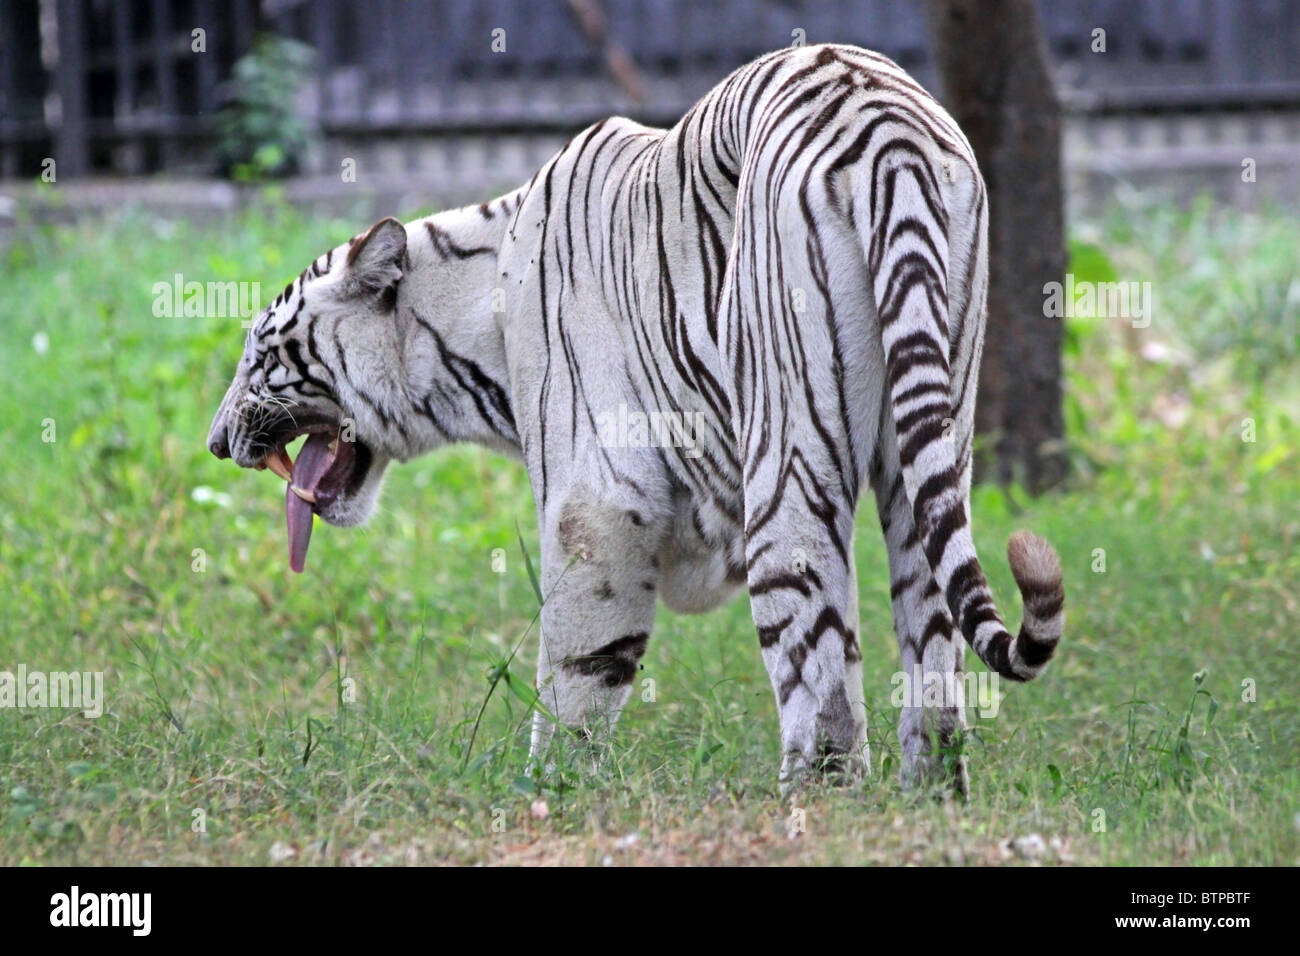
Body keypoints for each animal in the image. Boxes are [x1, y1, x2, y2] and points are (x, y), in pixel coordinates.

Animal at [206, 43, 1065, 794]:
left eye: (256, 352)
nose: (216, 442)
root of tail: (886, 121)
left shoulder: (595, 500)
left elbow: (577, 673)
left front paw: (548, 788)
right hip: (932, 437)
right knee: (933, 642)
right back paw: (931, 796)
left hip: (790, 452)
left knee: (819, 675)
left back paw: (812, 804)